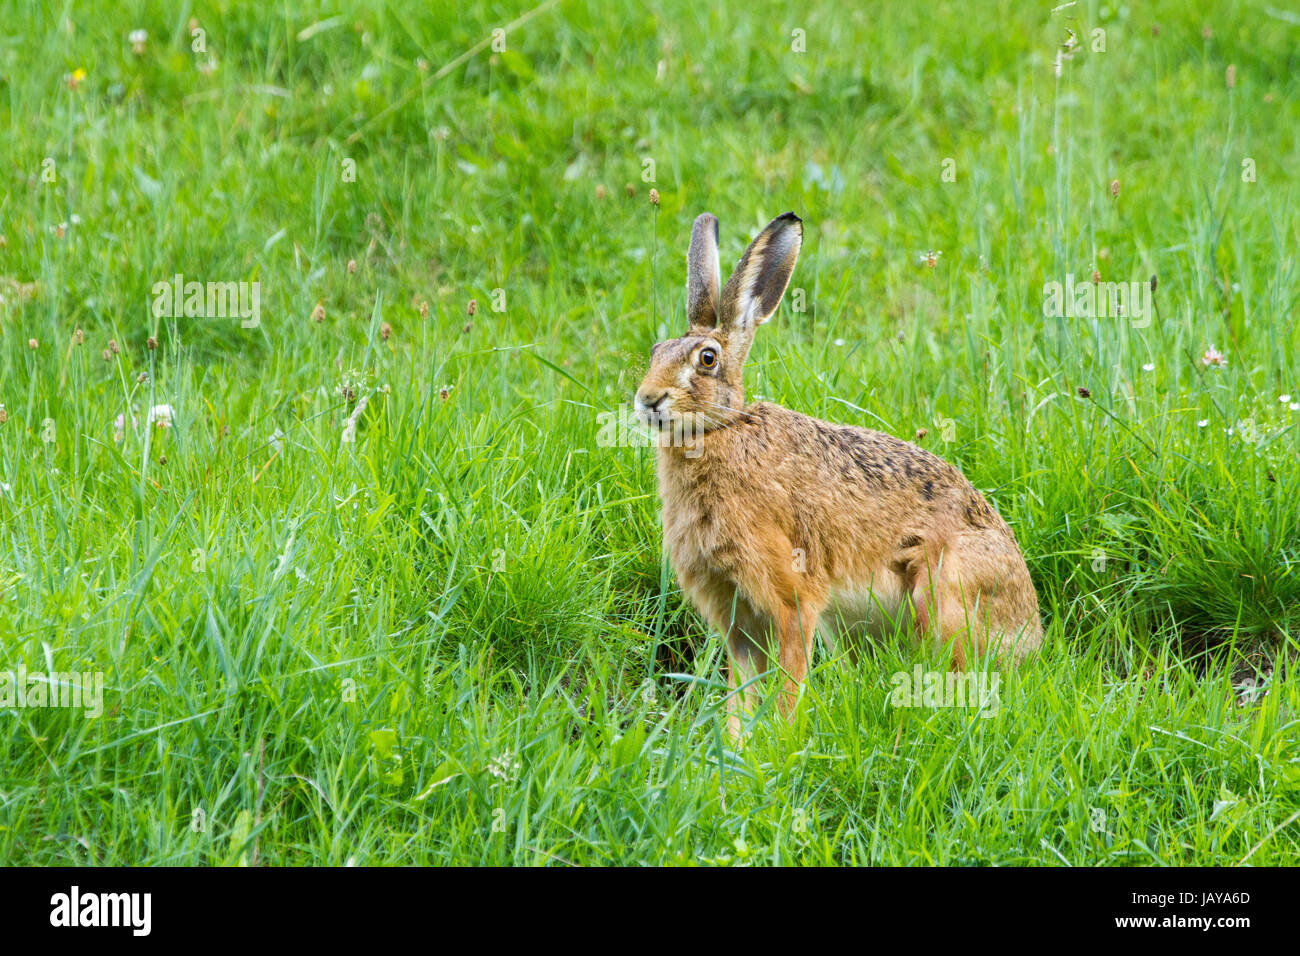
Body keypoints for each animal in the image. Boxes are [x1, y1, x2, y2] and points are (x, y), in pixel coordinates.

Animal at [634, 211, 1042, 738]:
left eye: (707, 359)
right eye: (656, 350)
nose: (647, 399)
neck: (722, 430)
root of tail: (1032, 634)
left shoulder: (792, 600)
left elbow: (790, 678)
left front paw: (785, 737)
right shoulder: (737, 619)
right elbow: (740, 693)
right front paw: (739, 744)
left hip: (943, 590)